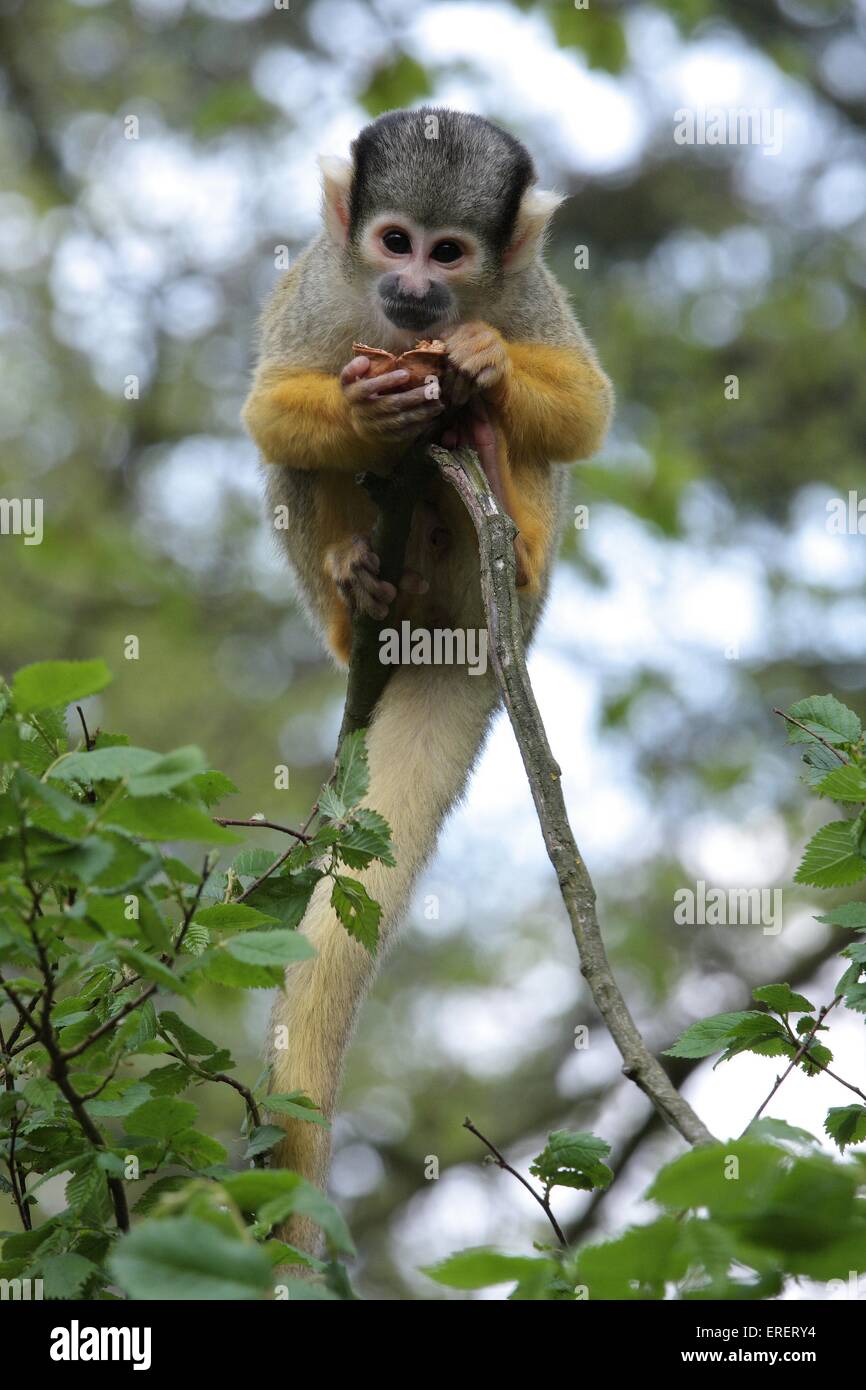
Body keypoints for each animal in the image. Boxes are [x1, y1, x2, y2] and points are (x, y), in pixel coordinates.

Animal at [241, 108, 613, 1257]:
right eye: (393, 241)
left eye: (448, 253)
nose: (411, 289)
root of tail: (469, 635)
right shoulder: (322, 282)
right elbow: (271, 413)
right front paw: (370, 407)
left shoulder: (524, 290)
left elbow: (584, 411)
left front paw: (485, 365)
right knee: (297, 469)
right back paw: (352, 582)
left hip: (501, 591)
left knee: (528, 455)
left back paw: (503, 502)